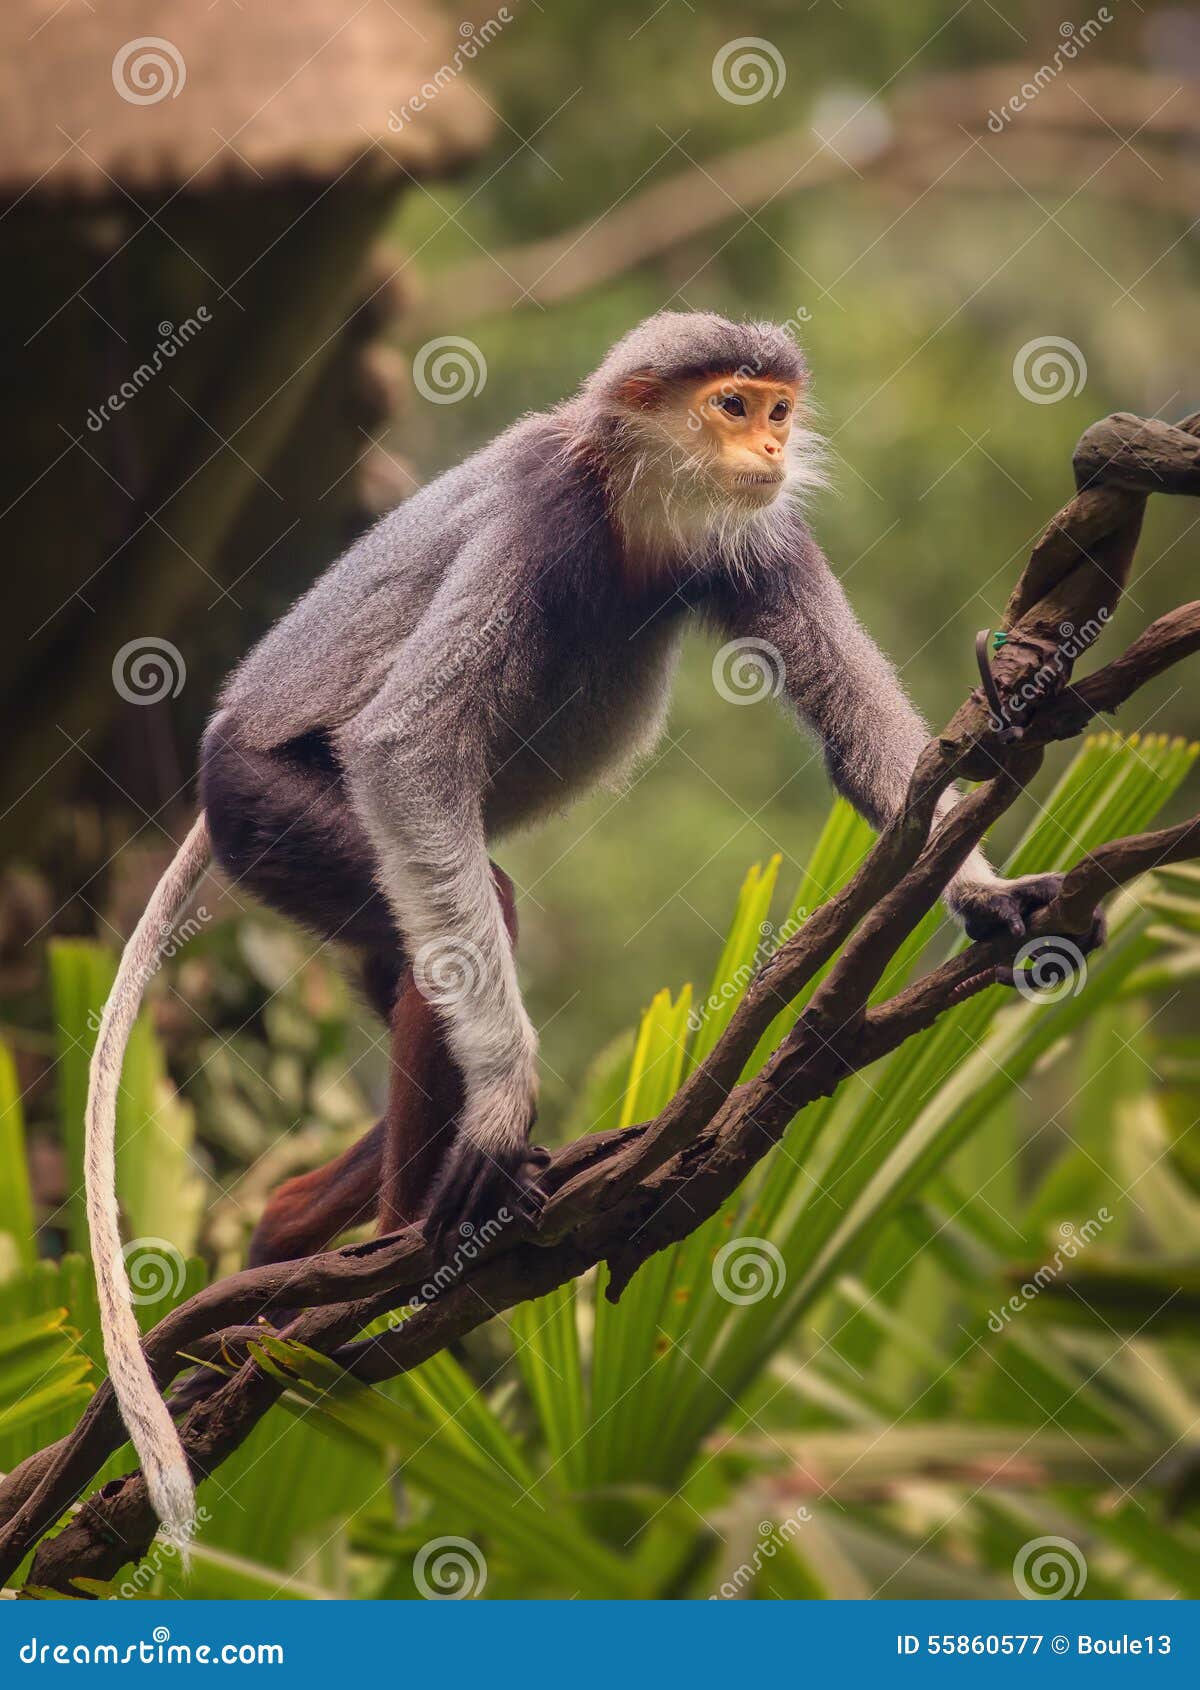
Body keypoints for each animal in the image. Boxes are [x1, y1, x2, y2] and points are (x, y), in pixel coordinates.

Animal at [85, 310, 1077, 1544]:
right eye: (730, 406)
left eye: (777, 410)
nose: (770, 448)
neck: (630, 511)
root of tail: (218, 754)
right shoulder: (540, 513)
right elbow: (408, 754)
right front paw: (508, 1106)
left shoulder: (759, 534)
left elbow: (874, 751)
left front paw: (986, 894)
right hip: (273, 814)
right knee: (470, 900)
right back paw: (416, 1224)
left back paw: (291, 1232)